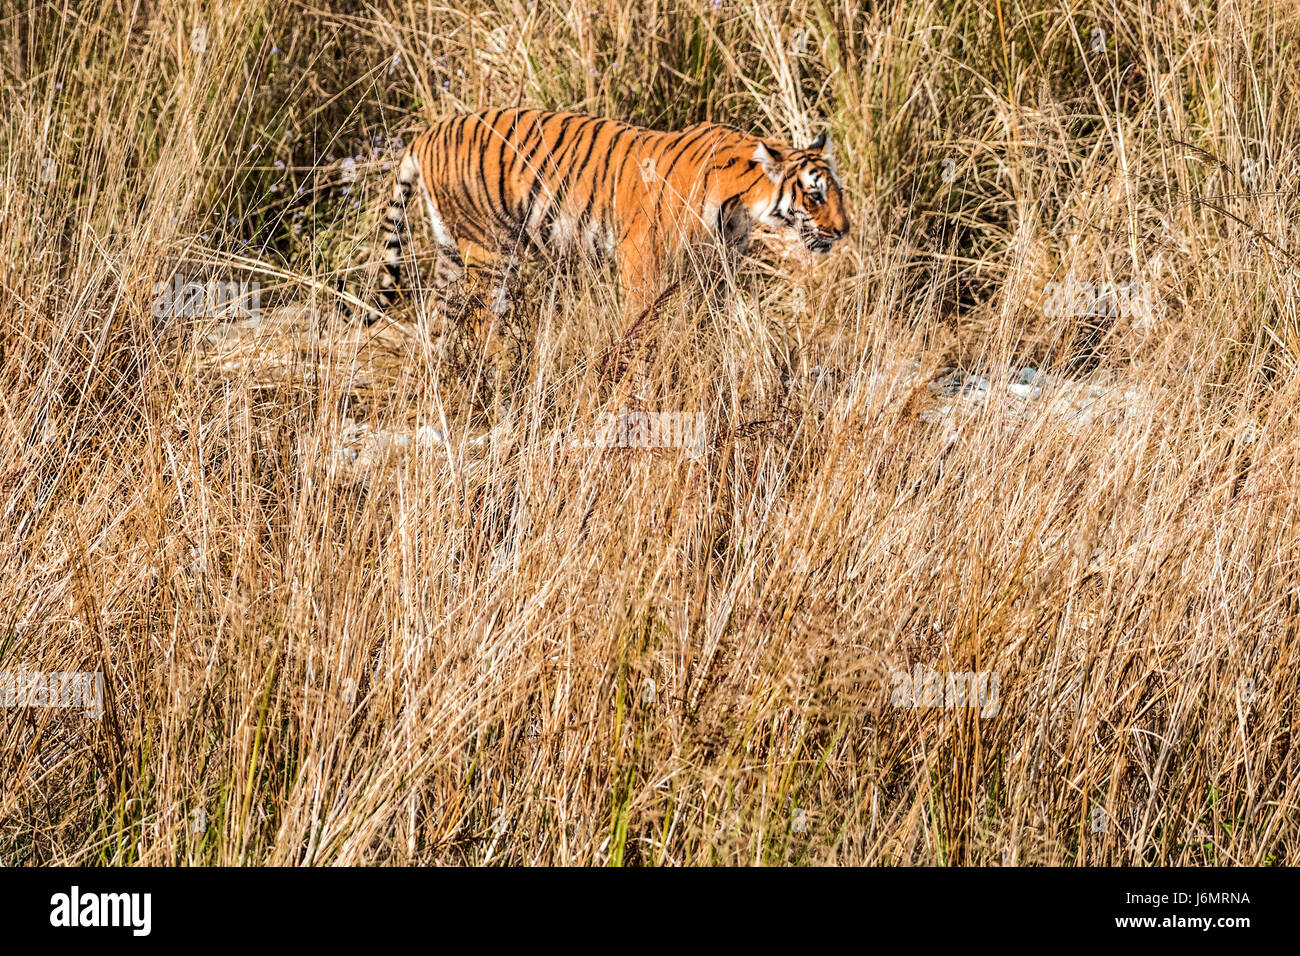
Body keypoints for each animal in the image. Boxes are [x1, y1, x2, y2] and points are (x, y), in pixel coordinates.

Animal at [372, 107, 849, 322]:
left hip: (450, 249)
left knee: (440, 320)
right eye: (814, 196)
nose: (844, 231)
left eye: (837, 192)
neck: (741, 207)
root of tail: (426, 133)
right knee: (482, 321)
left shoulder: (716, 267)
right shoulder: (643, 256)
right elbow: (644, 318)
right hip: (488, 249)